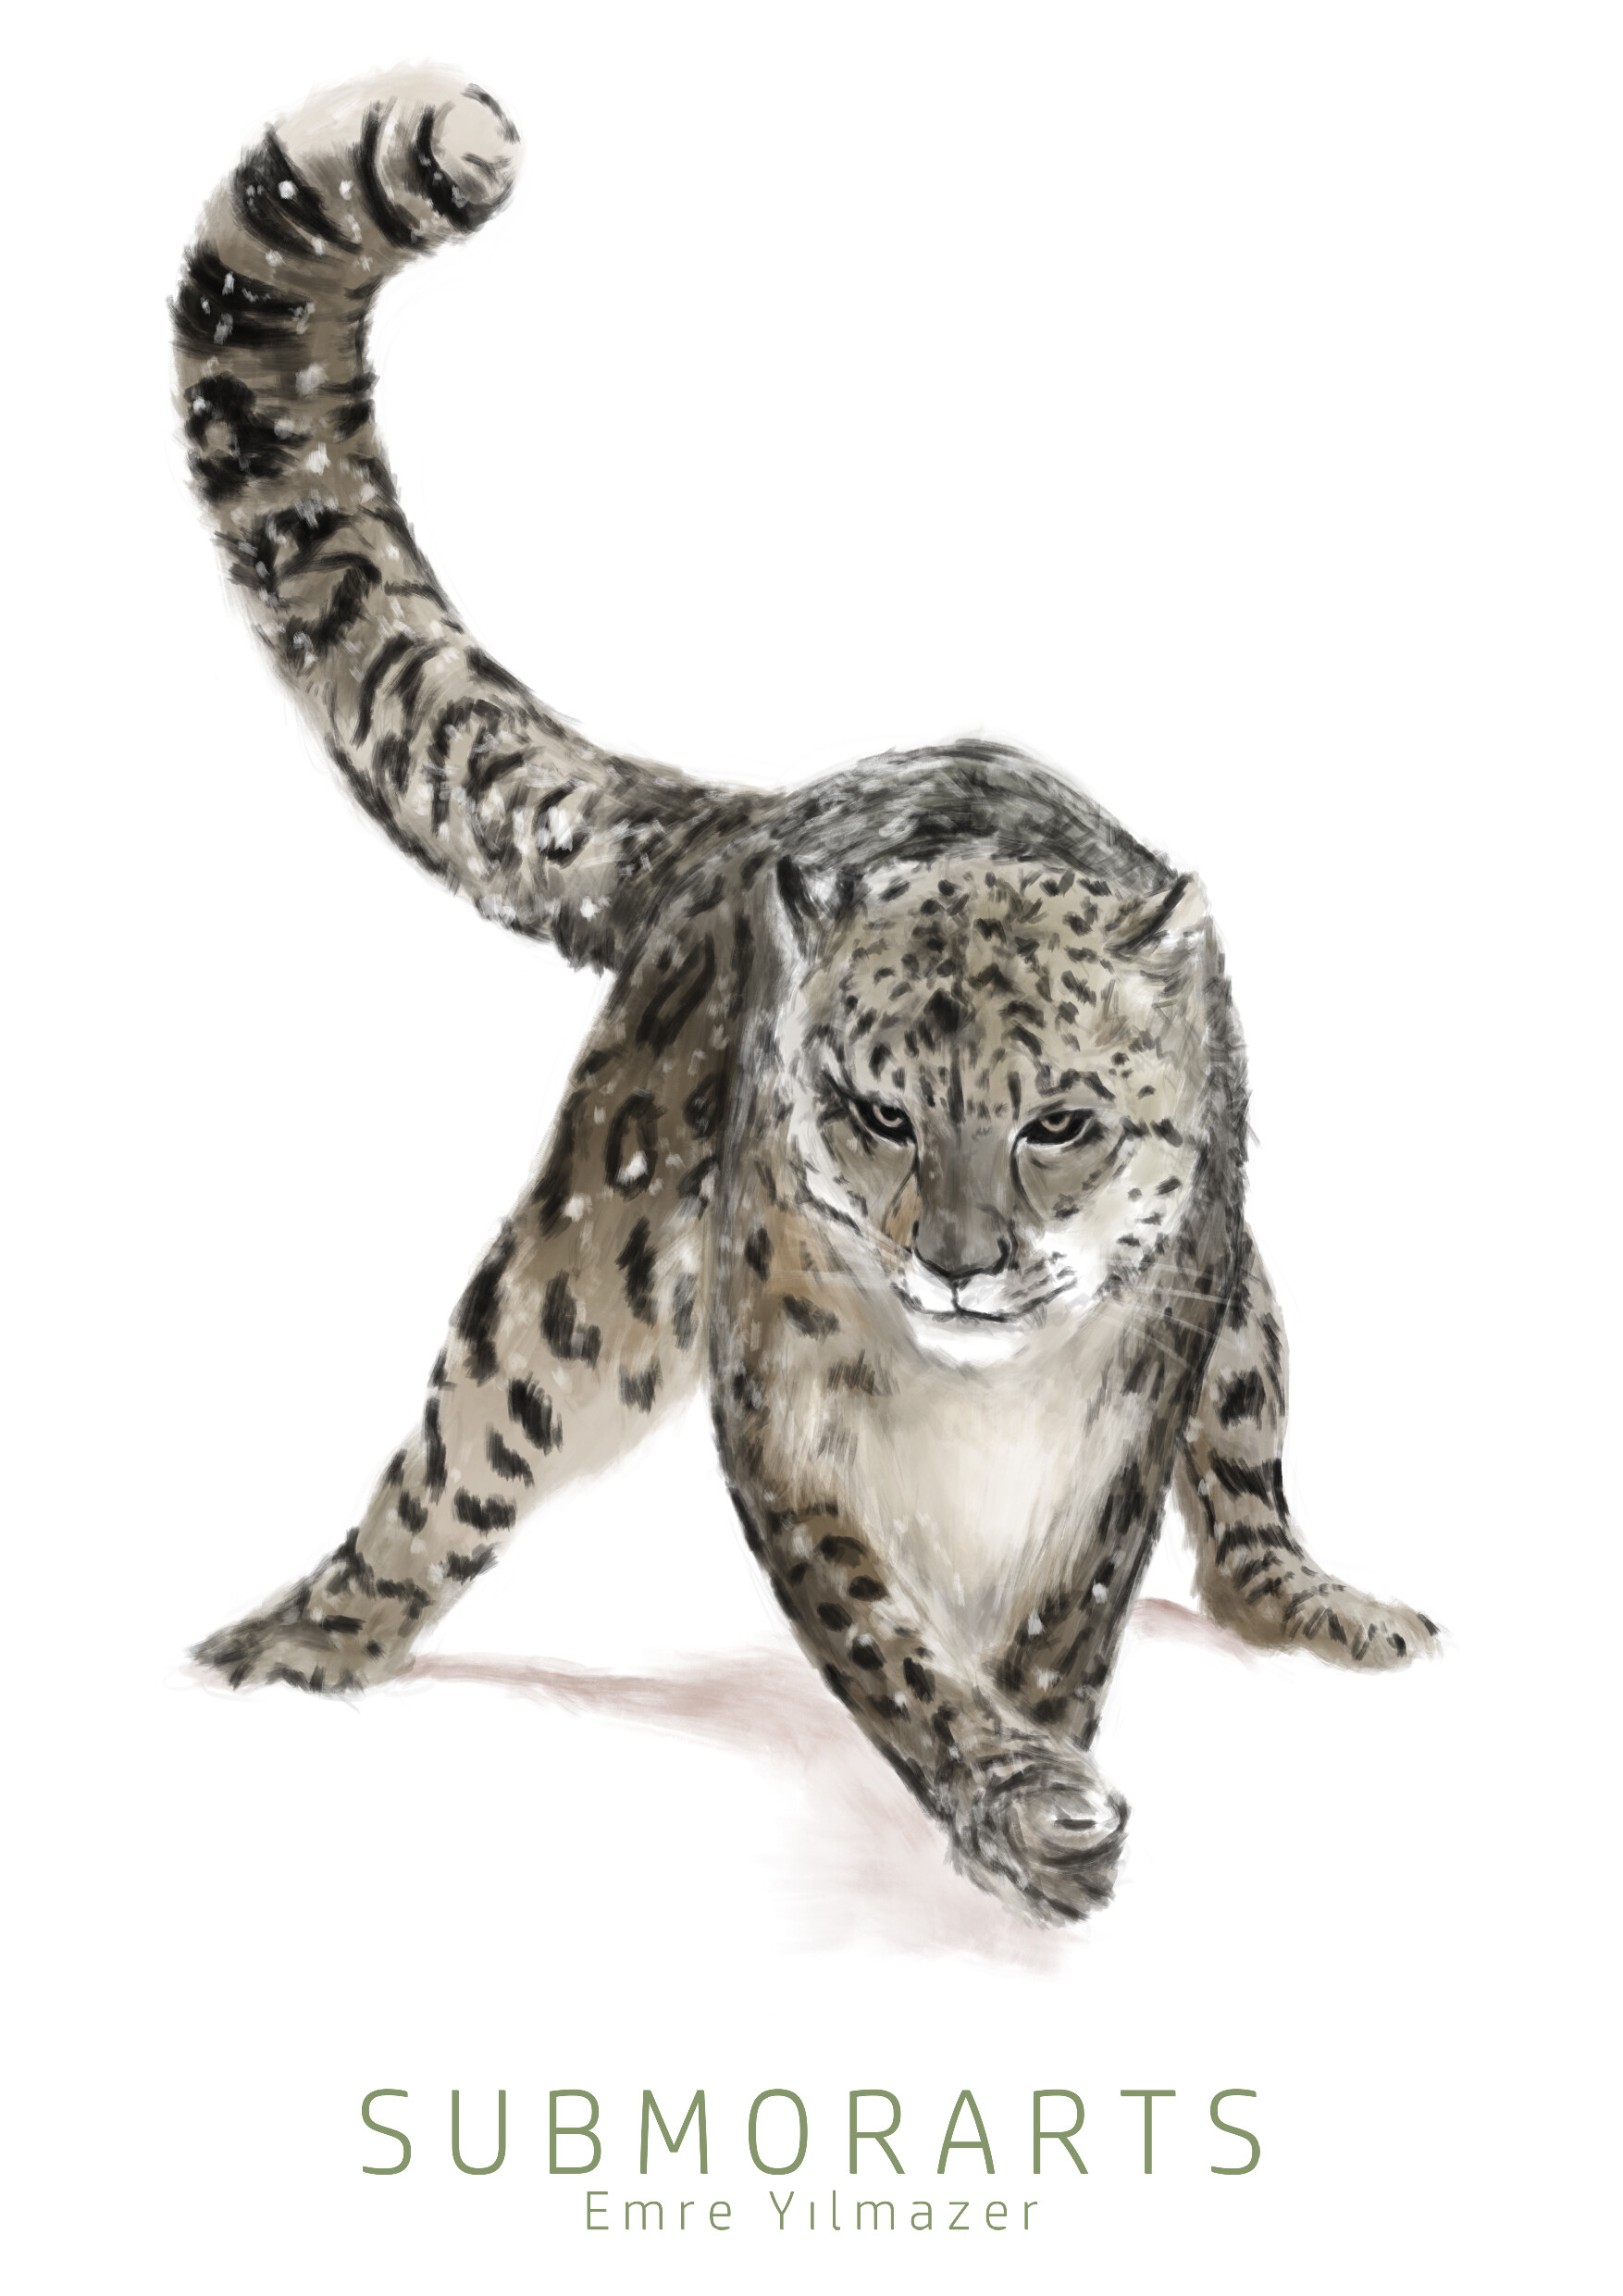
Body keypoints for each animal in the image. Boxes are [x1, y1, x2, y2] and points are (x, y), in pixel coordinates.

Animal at [177, 68, 1439, 1925]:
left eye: (1061, 1120)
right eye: (875, 1111)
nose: (961, 1260)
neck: (977, 1404)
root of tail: (751, 809)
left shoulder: (1127, 1420)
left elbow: (1071, 1610)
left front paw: (1041, 1778)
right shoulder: (781, 1417)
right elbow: (875, 1636)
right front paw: (1020, 1805)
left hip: (1241, 1322)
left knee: (1250, 1473)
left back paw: (1329, 1607)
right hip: (564, 1295)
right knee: (450, 1457)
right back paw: (278, 1653)